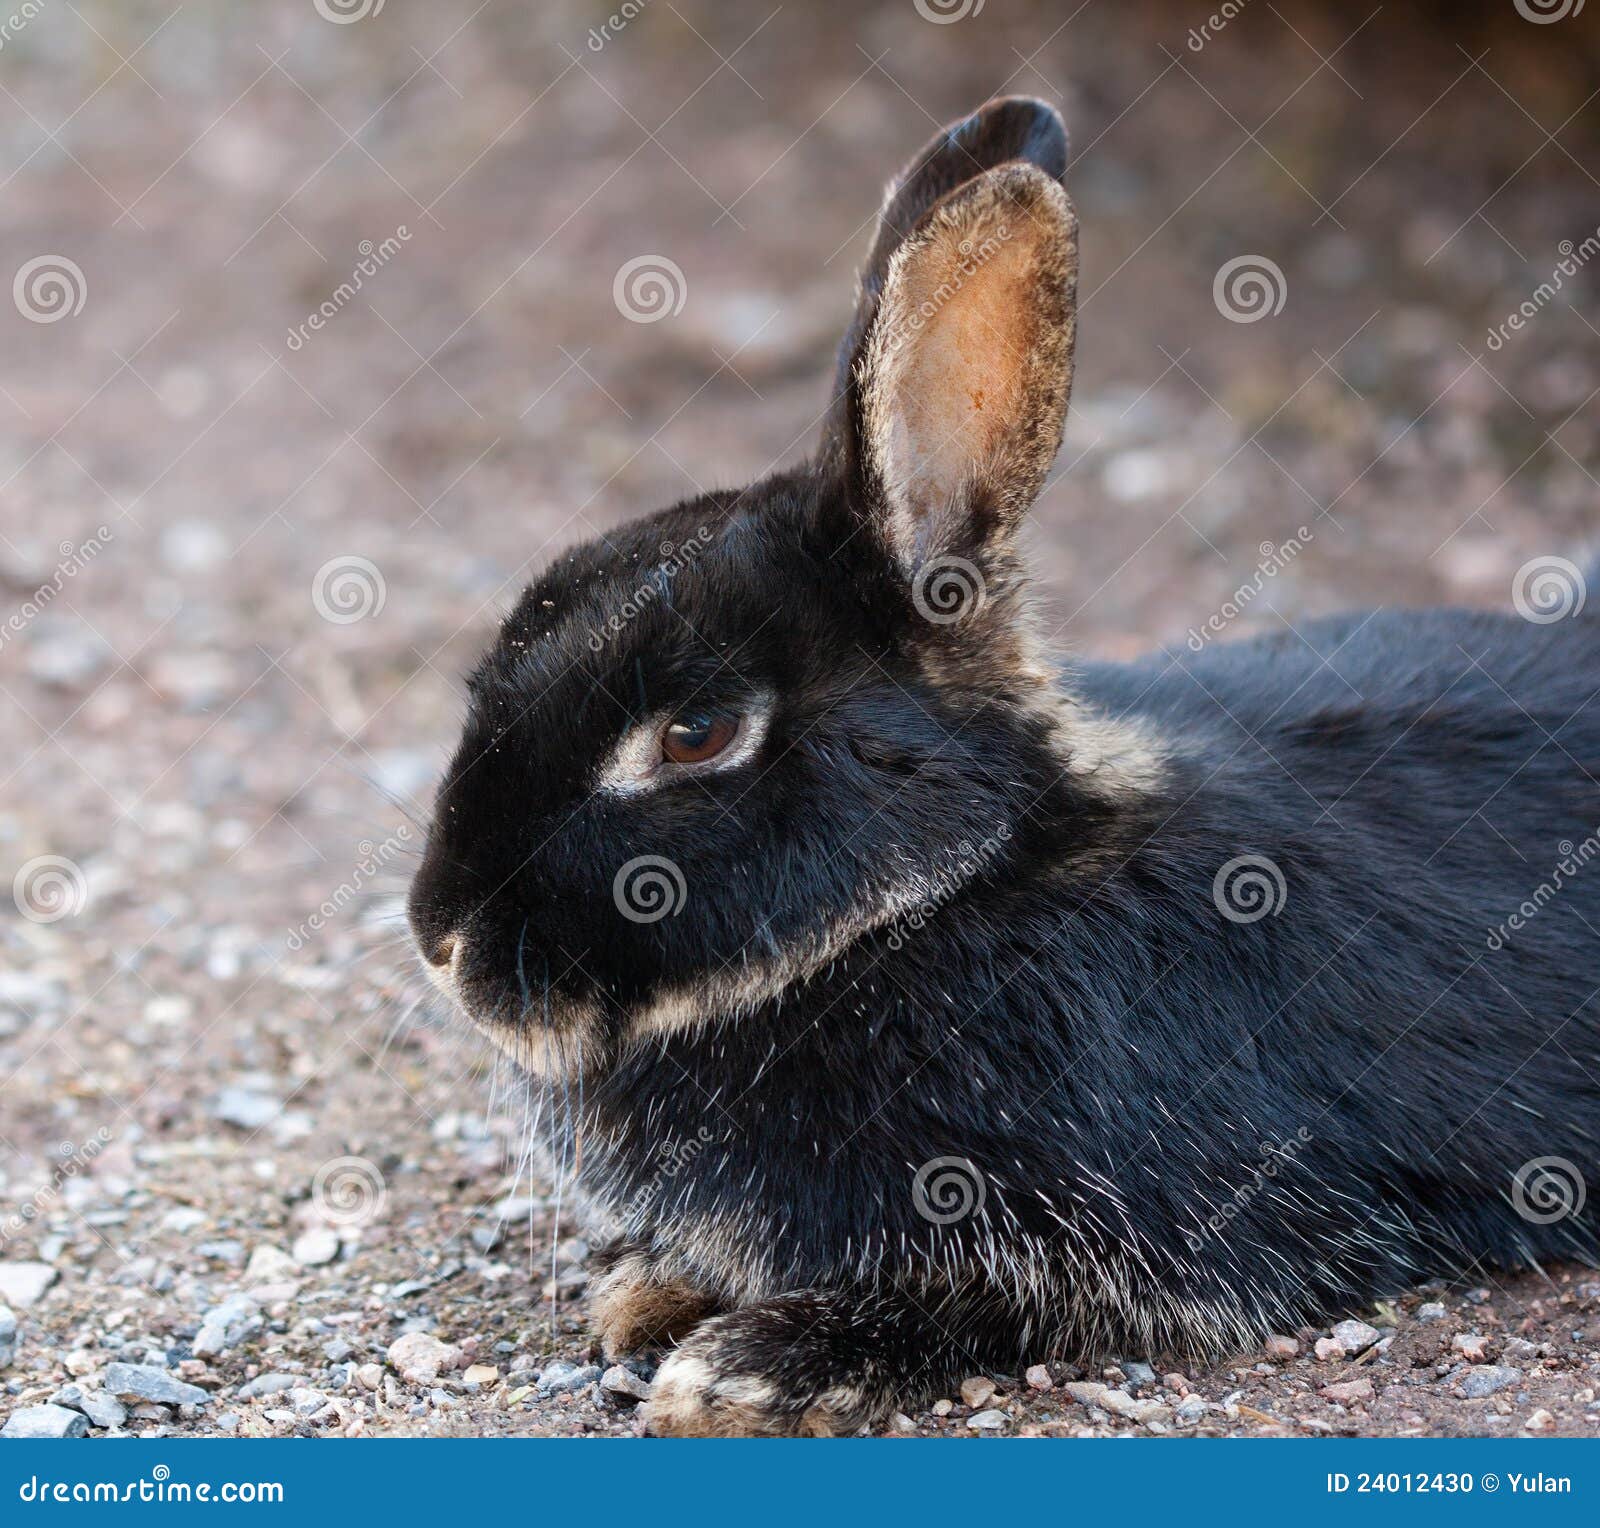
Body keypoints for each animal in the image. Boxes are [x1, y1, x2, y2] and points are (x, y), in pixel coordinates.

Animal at [407, 96, 1600, 1436]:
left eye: (696, 733)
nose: (441, 939)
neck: (945, 892)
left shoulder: (1133, 1235)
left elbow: (980, 1301)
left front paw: (745, 1370)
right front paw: (643, 1294)